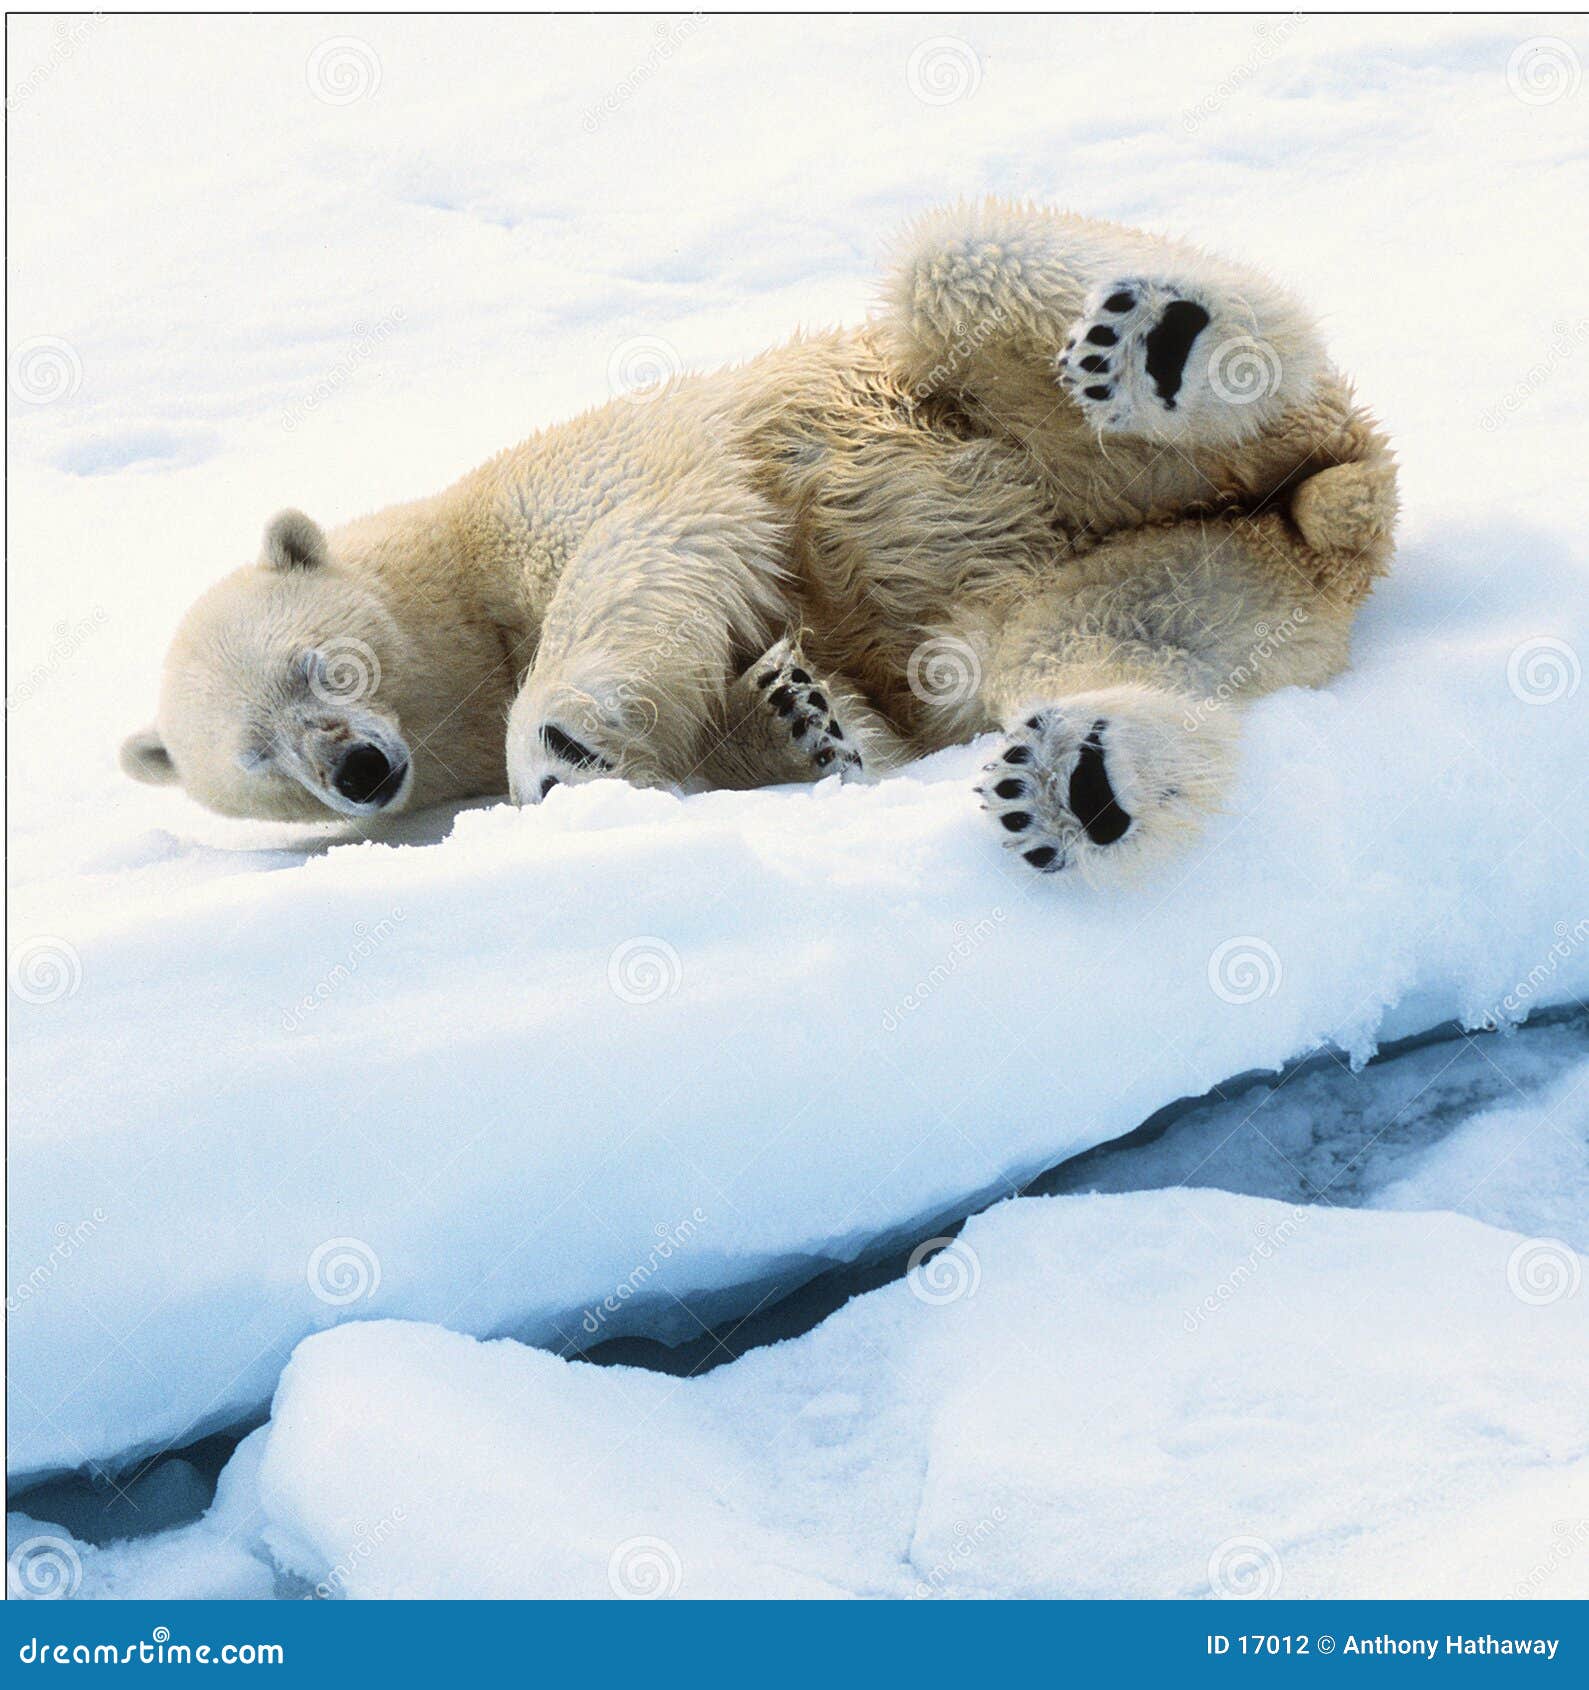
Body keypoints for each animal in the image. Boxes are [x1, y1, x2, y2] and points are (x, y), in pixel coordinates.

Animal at [121, 199, 1396, 878]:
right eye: (254, 758)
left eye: (324, 667)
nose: (355, 770)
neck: (458, 578)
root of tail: (1327, 495)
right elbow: (776, 702)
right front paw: (807, 717)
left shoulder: (593, 469)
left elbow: (650, 543)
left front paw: (559, 746)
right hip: (1195, 571)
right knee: (1091, 644)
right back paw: (1078, 780)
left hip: (1045, 421)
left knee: (960, 261)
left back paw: (1169, 347)